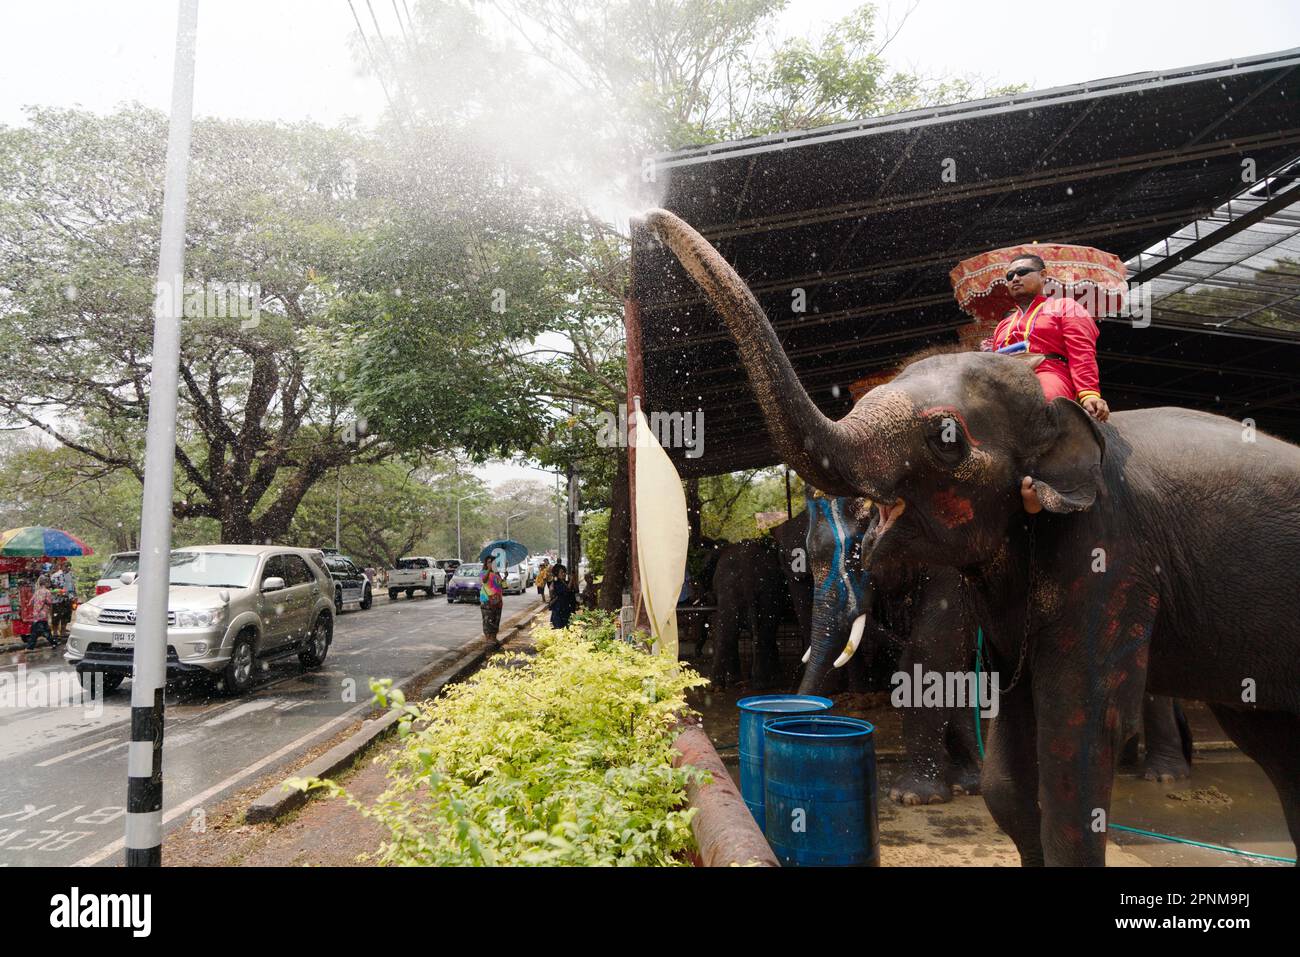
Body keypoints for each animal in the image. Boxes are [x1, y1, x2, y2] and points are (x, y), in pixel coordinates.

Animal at [645, 208, 1298, 866]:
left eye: (947, 438)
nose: (648, 215)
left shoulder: (1105, 549)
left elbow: (978, 673)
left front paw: (912, 797)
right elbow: (1003, 759)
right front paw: (957, 784)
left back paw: (1162, 776)